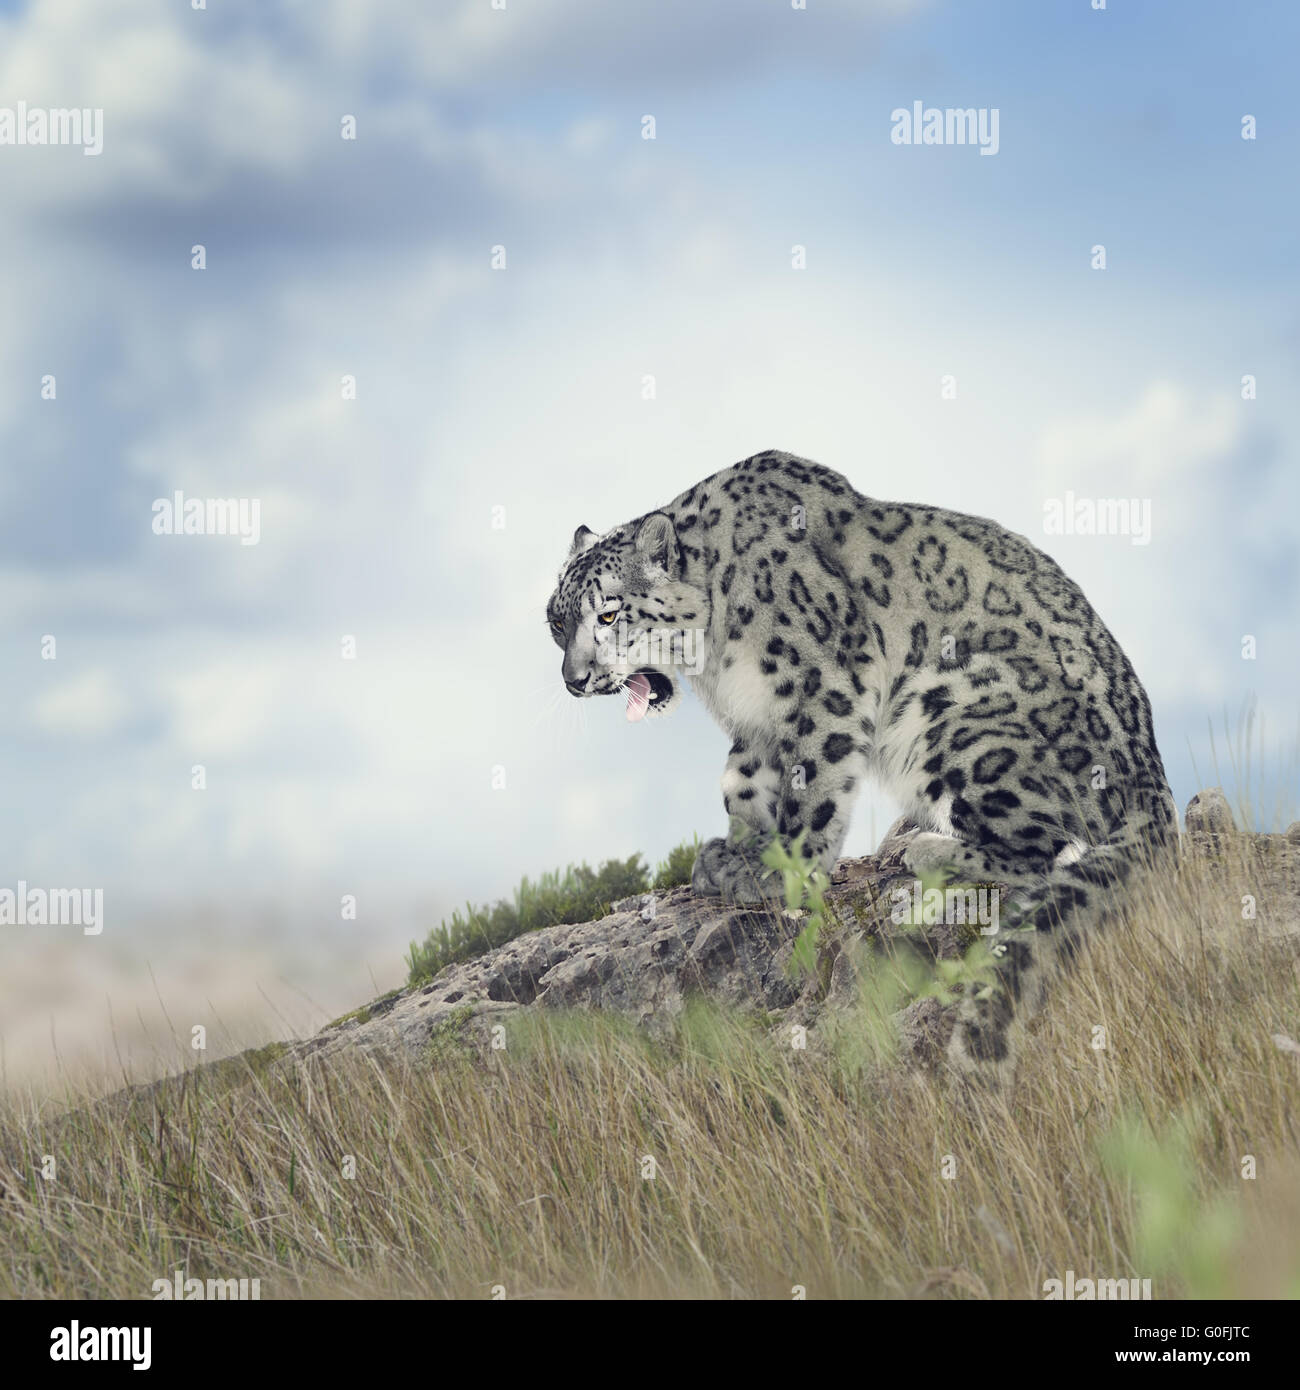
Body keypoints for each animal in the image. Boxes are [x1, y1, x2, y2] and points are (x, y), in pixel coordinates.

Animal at [546, 449, 1177, 1080]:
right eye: (556, 622)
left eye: (609, 616)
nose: (574, 680)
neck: (712, 654)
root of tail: (1150, 777)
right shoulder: (757, 720)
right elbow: (741, 783)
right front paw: (736, 852)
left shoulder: (823, 684)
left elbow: (811, 788)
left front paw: (783, 870)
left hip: (950, 716)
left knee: (1047, 846)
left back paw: (925, 848)